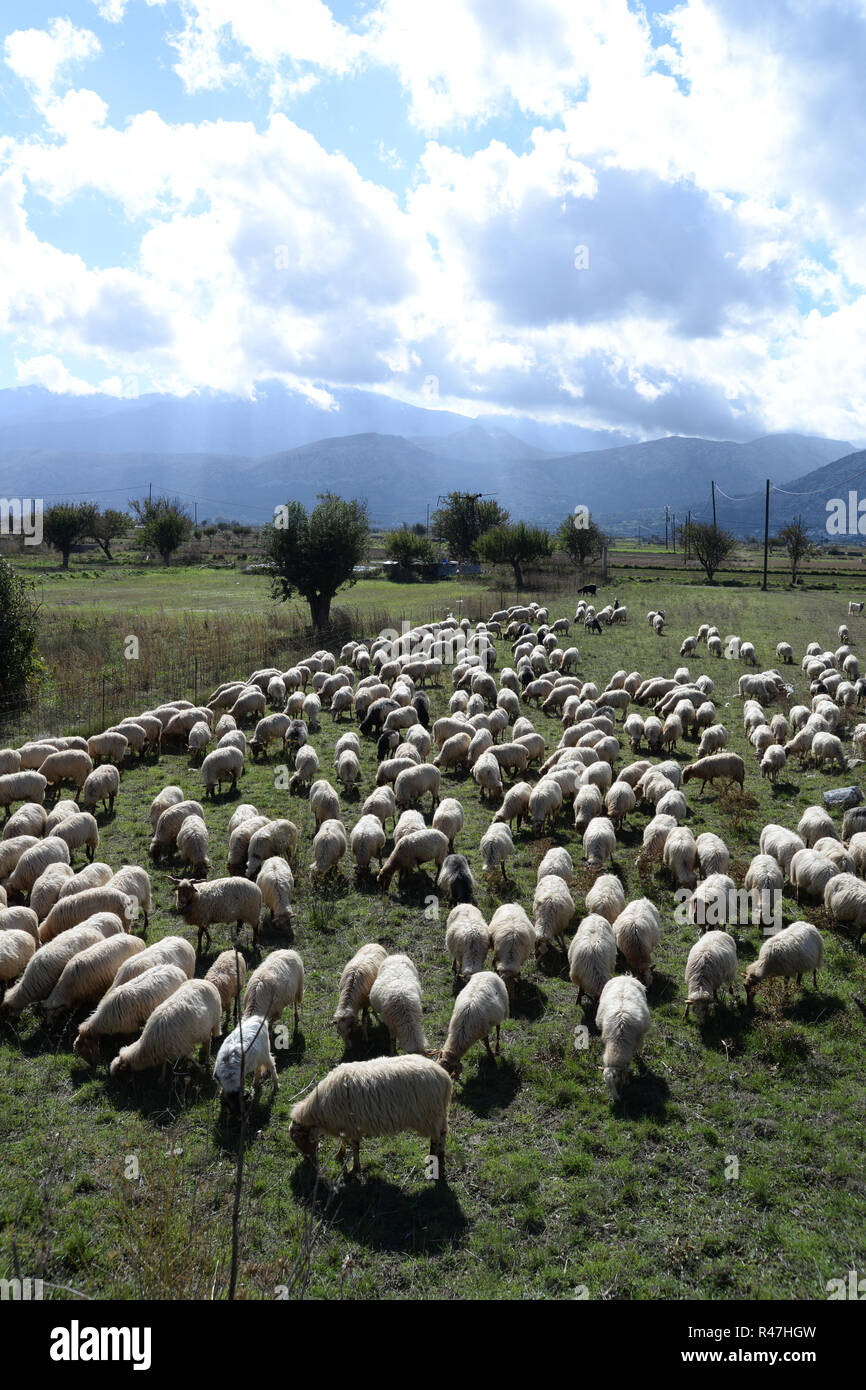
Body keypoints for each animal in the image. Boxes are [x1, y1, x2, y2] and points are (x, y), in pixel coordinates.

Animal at [289, 1053, 452, 1177]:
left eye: (300, 1139)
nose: (308, 1162)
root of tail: (445, 1077)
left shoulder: (351, 1125)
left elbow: (354, 1147)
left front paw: (354, 1169)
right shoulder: (345, 1124)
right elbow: (343, 1140)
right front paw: (340, 1154)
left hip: (430, 1116)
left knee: (437, 1137)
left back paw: (433, 1159)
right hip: (439, 1113)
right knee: (443, 1133)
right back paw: (439, 1156)